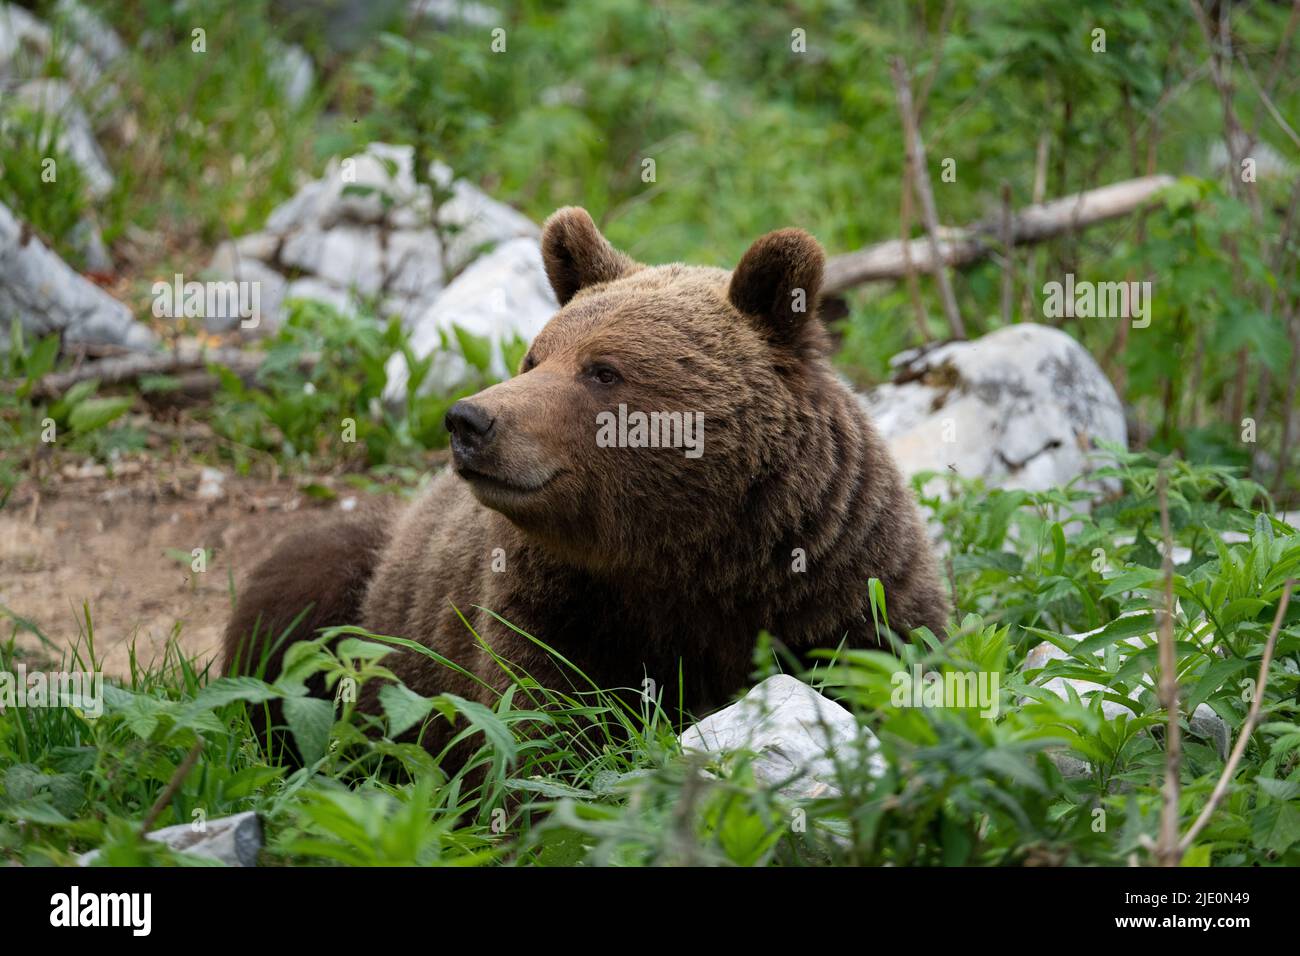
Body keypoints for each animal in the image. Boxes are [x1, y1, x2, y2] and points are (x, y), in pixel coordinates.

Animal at [223, 206, 950, 763]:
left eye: (603, 369)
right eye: (534, 357)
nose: (468, 420)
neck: (692, 556)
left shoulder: (842, 589)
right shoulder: (557, 611)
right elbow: (544, 729)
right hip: (372, 601)